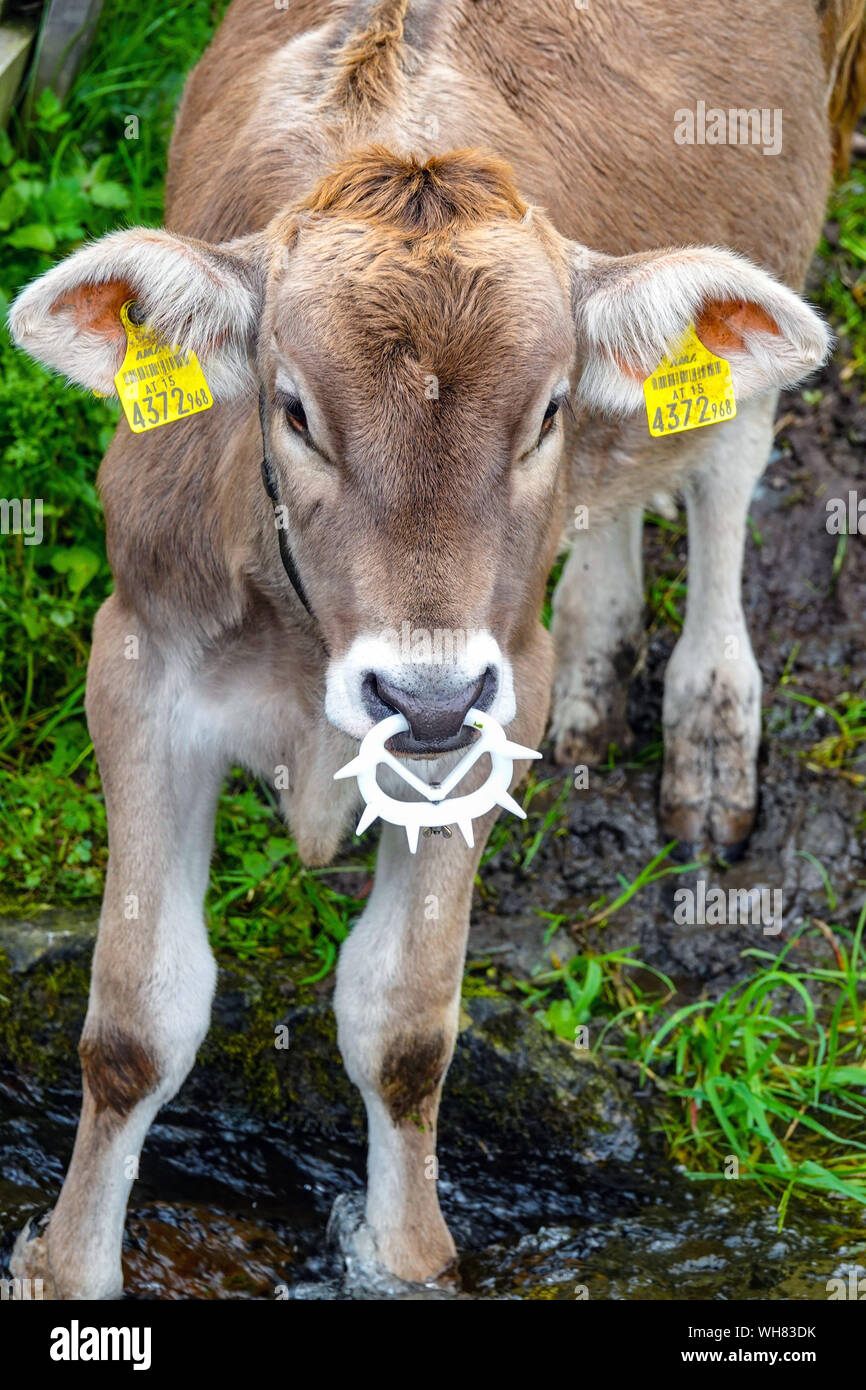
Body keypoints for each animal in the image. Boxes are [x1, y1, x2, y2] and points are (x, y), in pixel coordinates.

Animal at [7, 0, 862, 1296]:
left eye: (546, 410)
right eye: (294, 408)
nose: (422, 697)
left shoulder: (493, 692)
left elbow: (402, 1024)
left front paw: (401, 1256)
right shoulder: (142, 655)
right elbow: (137, 1022)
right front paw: (68, 1266)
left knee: (725, 457)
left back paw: (707, 738)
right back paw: (600, 665)